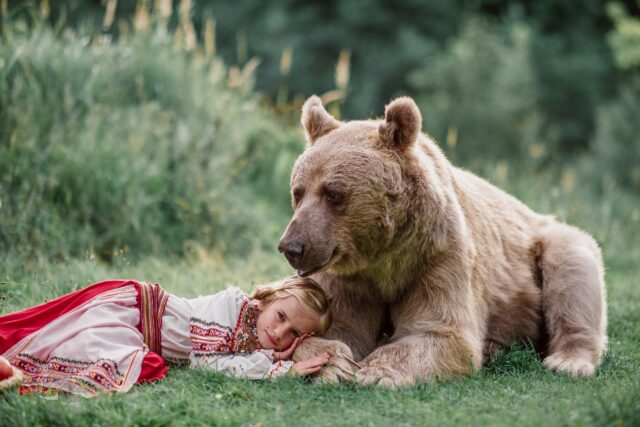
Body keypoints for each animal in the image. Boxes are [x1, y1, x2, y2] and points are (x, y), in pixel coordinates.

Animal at [281, 95, 608, 388]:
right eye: (298, 191)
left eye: (333, 193)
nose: (292, 246)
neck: (385, 257)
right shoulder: (349, 276)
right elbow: (335, 327)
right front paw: (334, 365)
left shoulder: (437, 258)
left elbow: (442, 332)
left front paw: (378, 371)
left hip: (545, 243)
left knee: (572, 274)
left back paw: (567, 361)